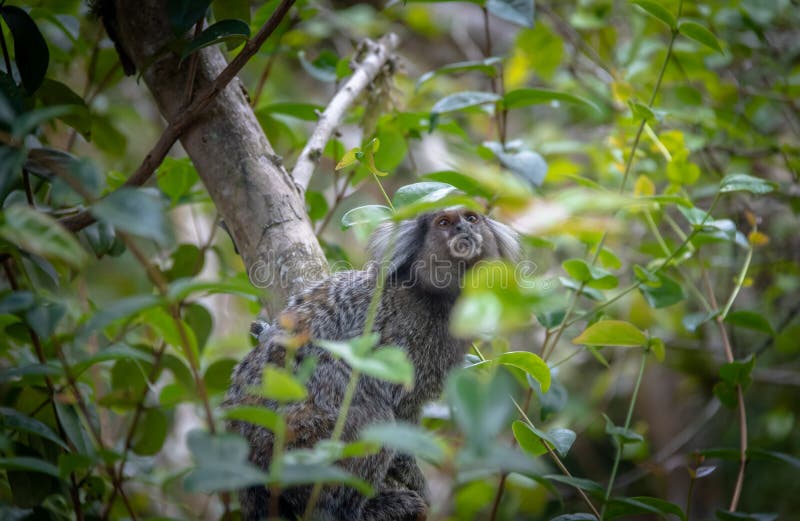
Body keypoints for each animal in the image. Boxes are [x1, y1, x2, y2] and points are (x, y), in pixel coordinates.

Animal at [224, 207, 520, 521]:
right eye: (444, 223)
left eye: (472, 218)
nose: (464, 228)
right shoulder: (407, 341)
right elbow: (400, 413)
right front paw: (416, 478)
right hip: (299, 443)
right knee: (371, 418)